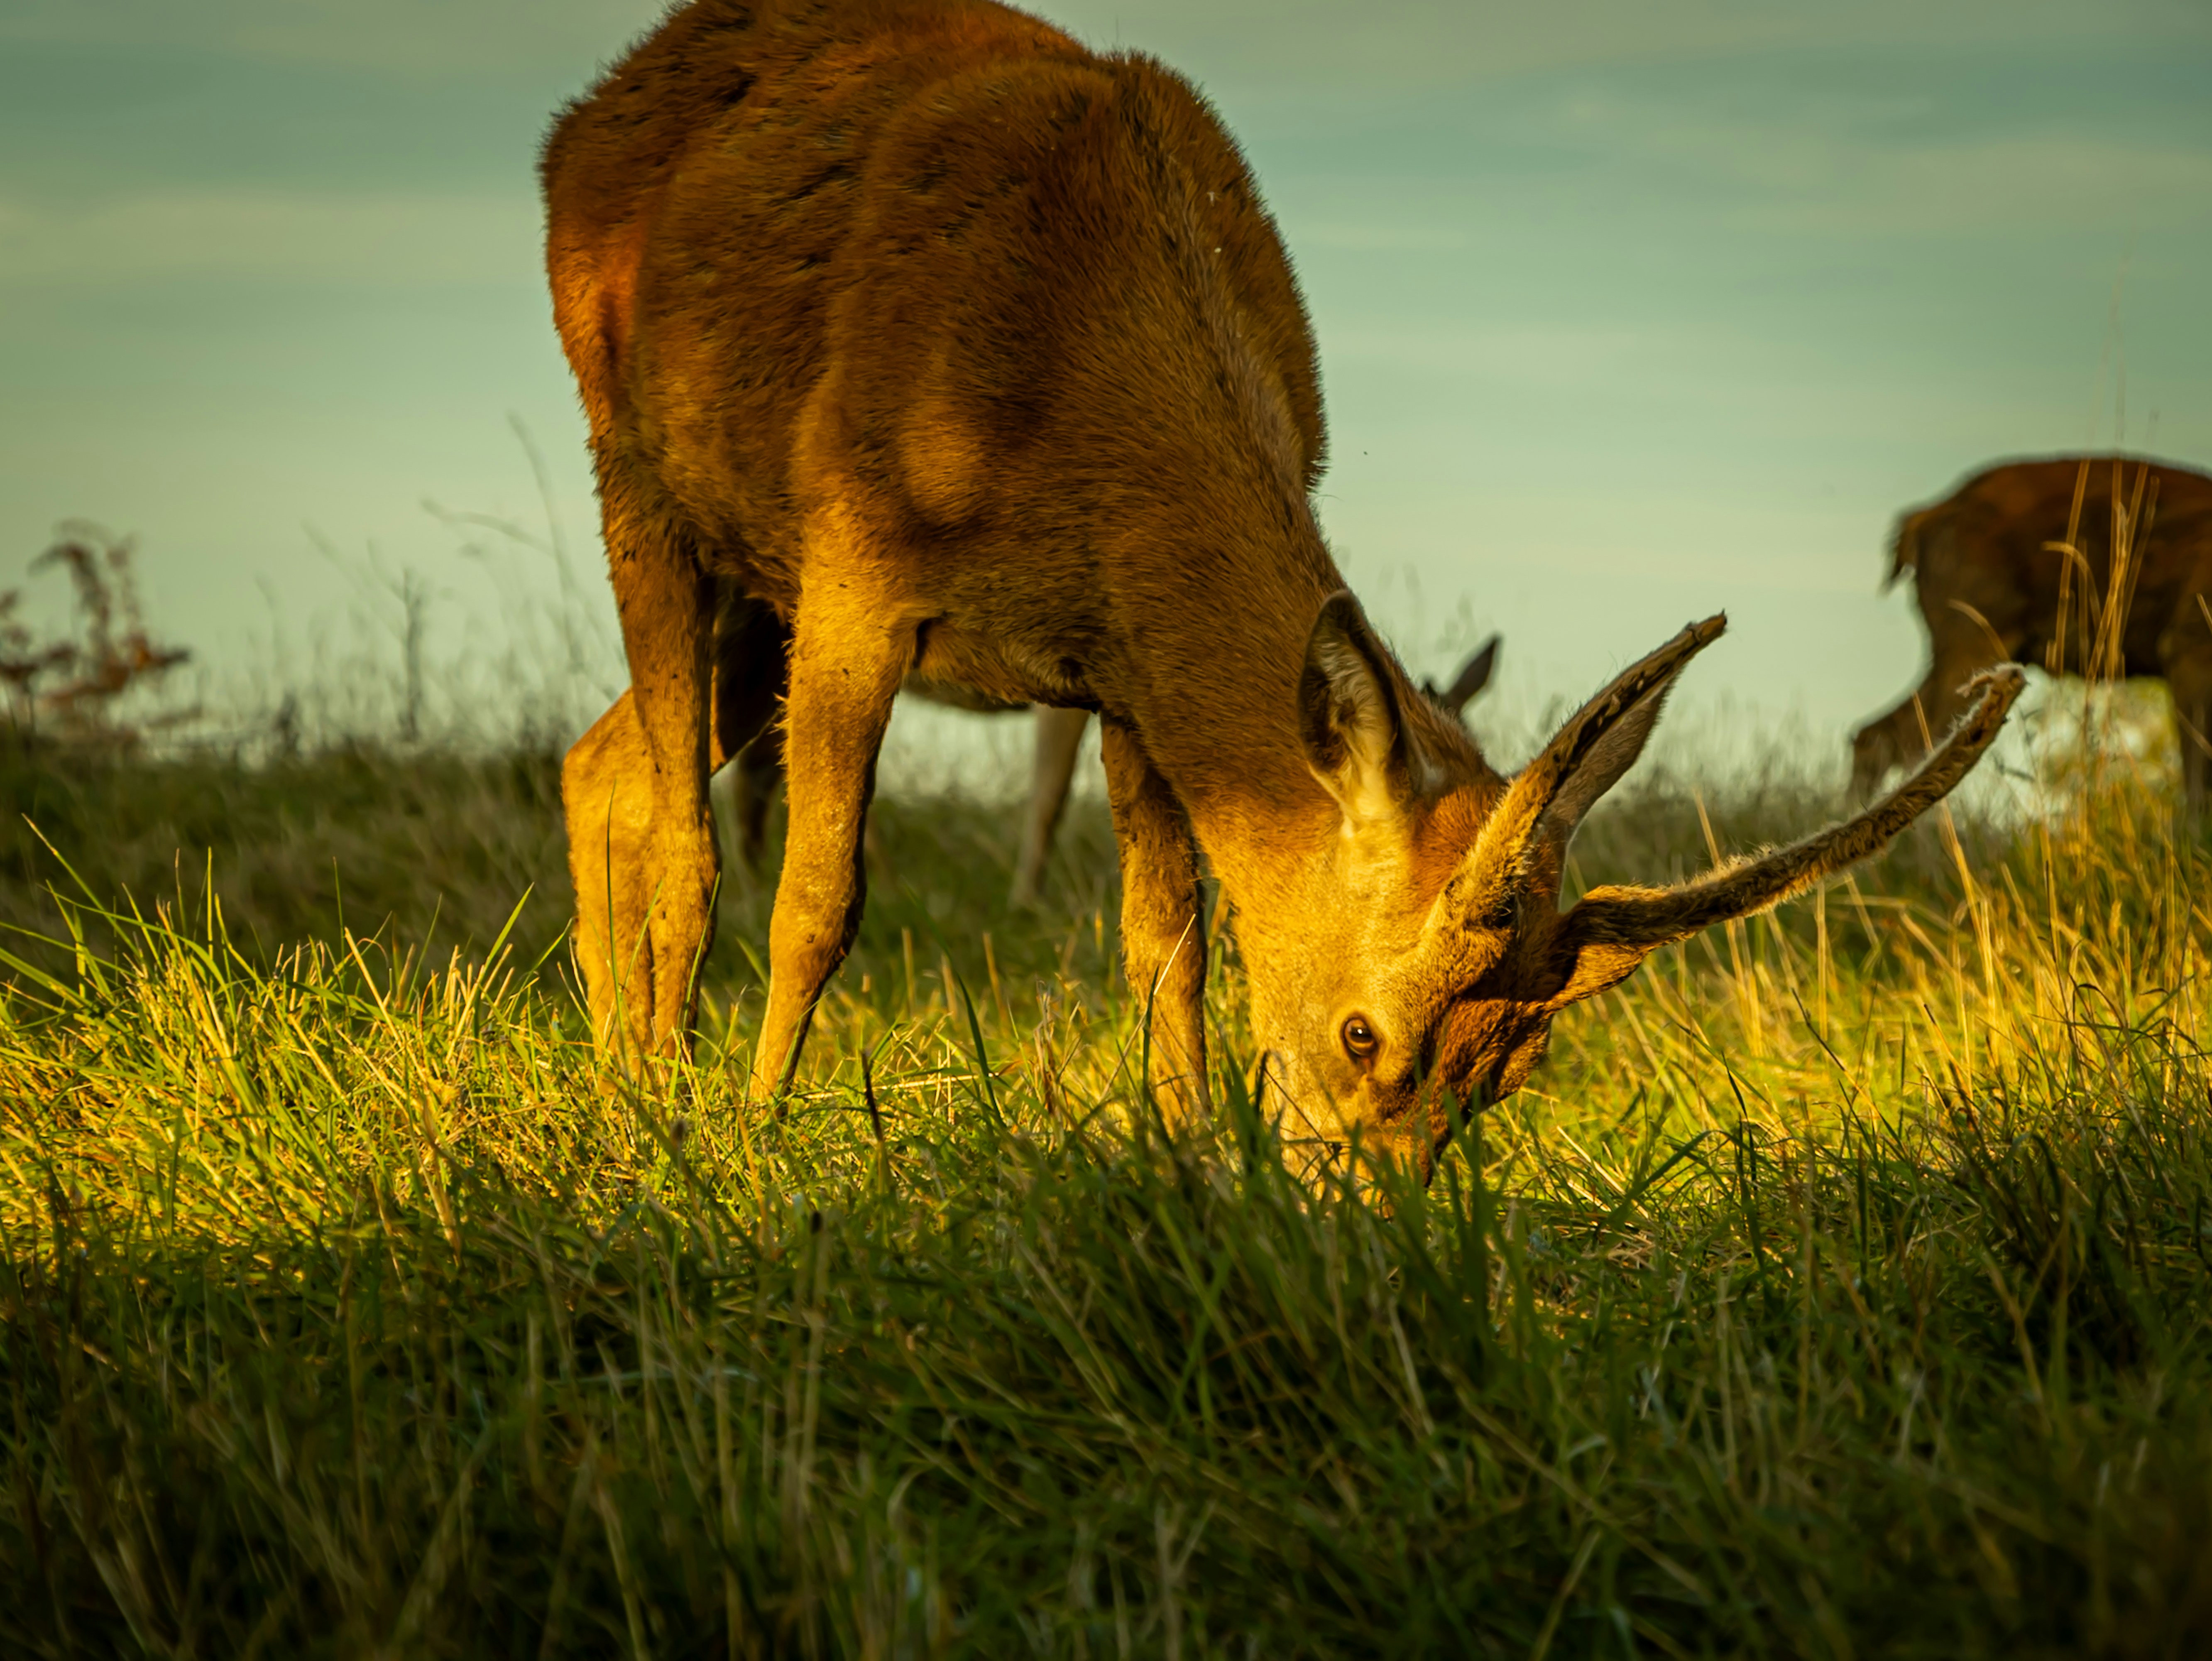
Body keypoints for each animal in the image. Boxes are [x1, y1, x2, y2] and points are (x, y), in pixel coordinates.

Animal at [1852, 455, 2212, 805]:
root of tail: (1922, 519)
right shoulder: (2188, 644)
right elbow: (2199, 786)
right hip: (1976, 634)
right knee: (1912, 740)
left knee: (1879, 735)